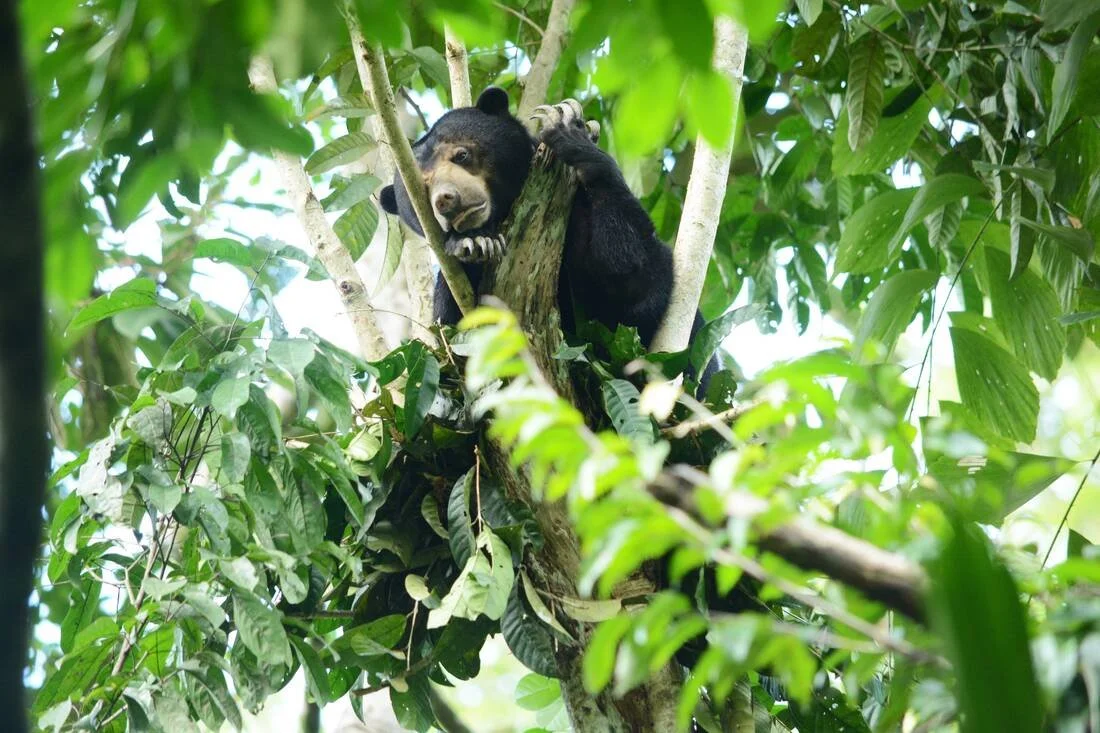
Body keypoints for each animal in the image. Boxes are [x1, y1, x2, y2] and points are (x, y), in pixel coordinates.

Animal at [379, 87, 717, 390]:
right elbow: (451, 334)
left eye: (462, 154)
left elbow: (636, 285)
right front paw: (474, 242)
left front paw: (567, 127)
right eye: (420, 190)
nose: (447, 200)